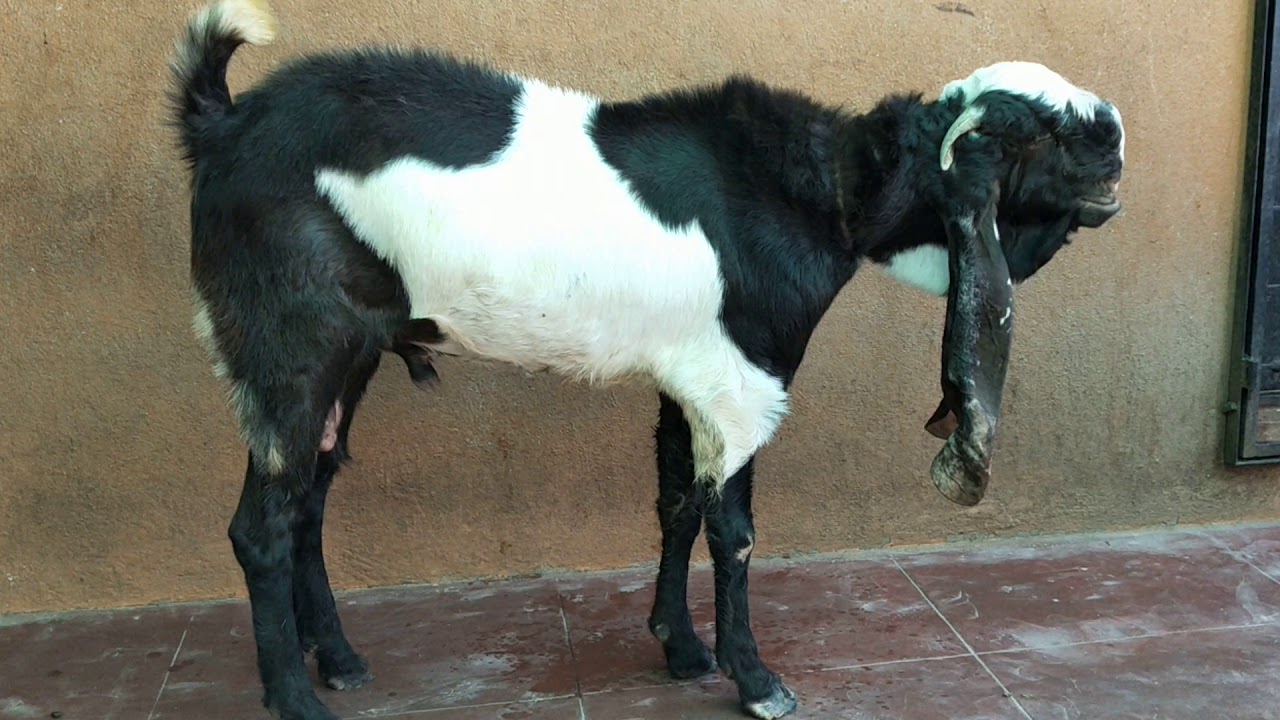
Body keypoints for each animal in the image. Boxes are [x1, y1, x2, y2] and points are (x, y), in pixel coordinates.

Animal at [167, 1, 1125, 718]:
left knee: (311, 497)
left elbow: (676, 507)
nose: (1116, 131)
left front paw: (682, 647)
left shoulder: (685, 377)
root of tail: (224, 124)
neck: (827, 191)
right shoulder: (743, 384)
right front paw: (755, 678)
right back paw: (297, 699)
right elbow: (733, 530)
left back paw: (337, 659)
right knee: (261, 525)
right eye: (1034, 126)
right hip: (289, 340)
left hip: (349, 352)